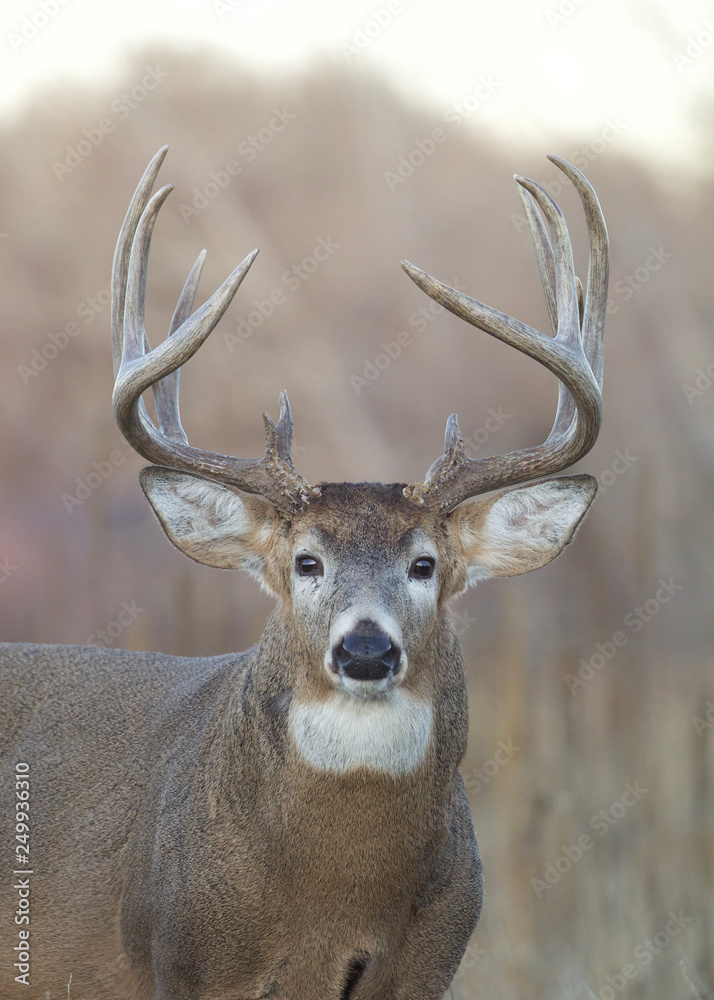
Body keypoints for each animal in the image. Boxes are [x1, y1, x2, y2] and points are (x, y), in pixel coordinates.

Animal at [0, 148, 608, 1000]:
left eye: (425, 563)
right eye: (306, 561)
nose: (366, 649)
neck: (336, 898)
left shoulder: (432, 959)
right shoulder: (181, 957)